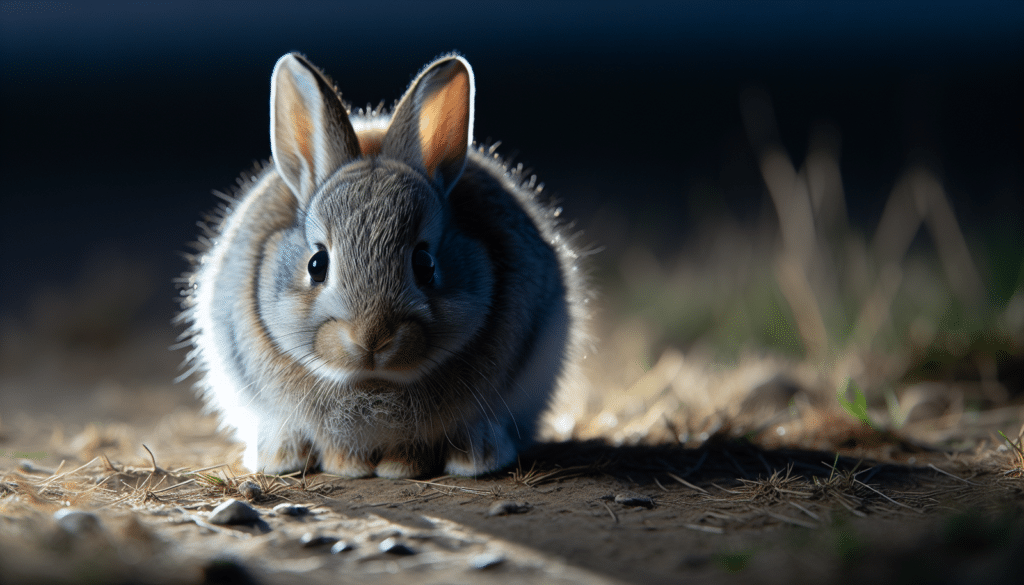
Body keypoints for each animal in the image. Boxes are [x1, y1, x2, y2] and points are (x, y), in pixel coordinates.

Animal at [177, 52, 588, 479]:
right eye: (316, 264)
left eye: (425, 263)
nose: (371, 338)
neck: (374, 382)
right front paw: (347, 466)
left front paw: (402, 467)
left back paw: (476, 456)